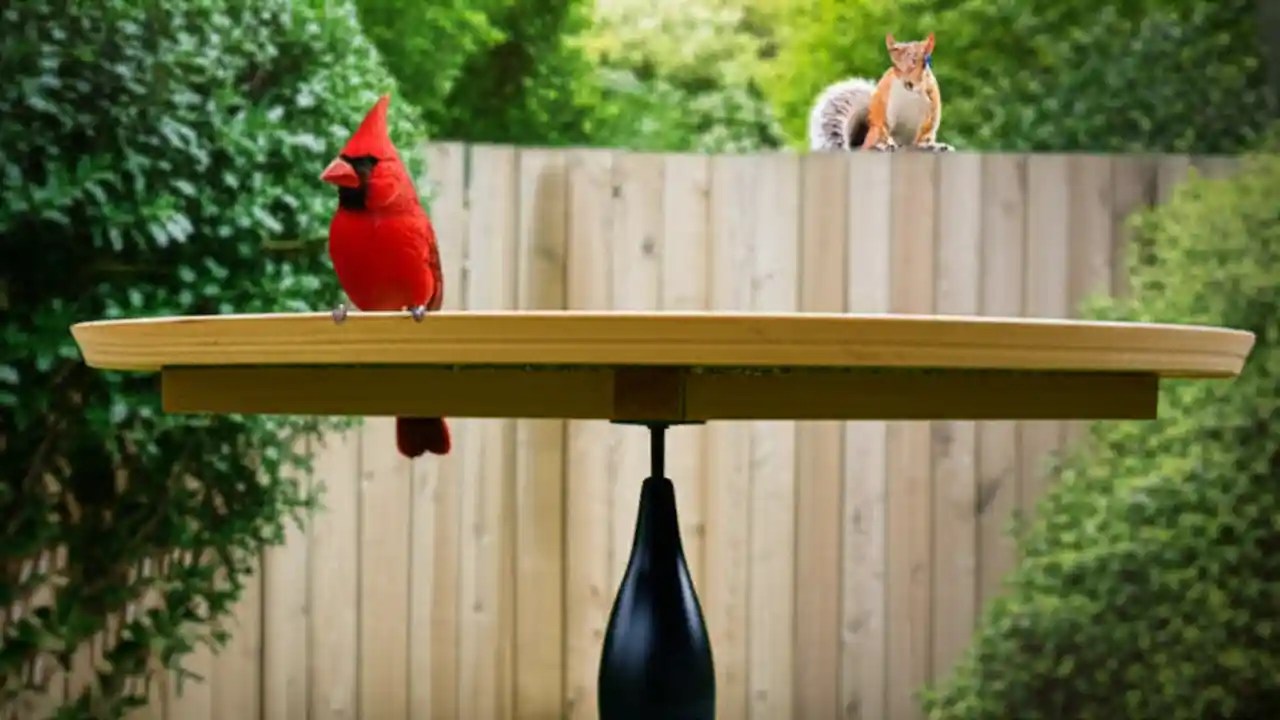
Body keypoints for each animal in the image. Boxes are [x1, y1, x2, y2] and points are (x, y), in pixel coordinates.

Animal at [807, 32, 953, 153]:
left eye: (925, 64)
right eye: (895, 66)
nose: (909, 83)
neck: (910, 94)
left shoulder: (931, 106)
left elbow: (926, 131)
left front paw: (931, 145)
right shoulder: (885, 106)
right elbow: (883, 127)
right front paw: (885, 144)